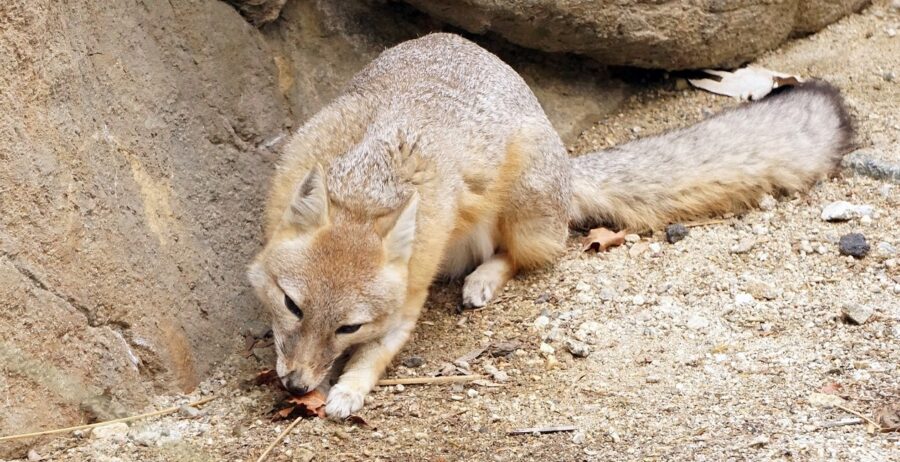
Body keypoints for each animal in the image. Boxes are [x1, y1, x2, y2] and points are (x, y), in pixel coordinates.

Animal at [247, 33, 852, 418]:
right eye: (293, 305)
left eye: (348, 327)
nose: (297, 385)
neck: (368, 181)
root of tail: (566, 160)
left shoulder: (407, 302)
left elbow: (377, 355)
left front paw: (349, 390)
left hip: (522, 208)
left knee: (527, 256)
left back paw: (483, 280)